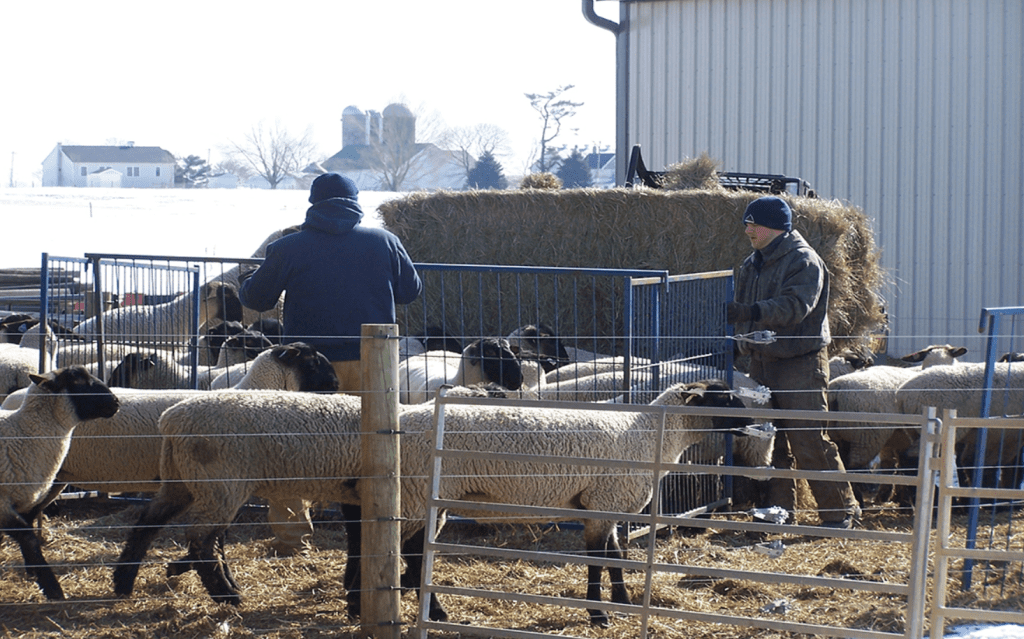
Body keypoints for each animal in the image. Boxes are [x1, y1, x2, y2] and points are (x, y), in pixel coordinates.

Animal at [0, 366, 120, 600]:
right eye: (77, 380)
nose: (116, 402)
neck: (24, 435)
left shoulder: (24, 502)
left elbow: (29, 536)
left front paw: (33, 572)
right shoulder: (3, 504)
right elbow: (29, 539)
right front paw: (53, 588)